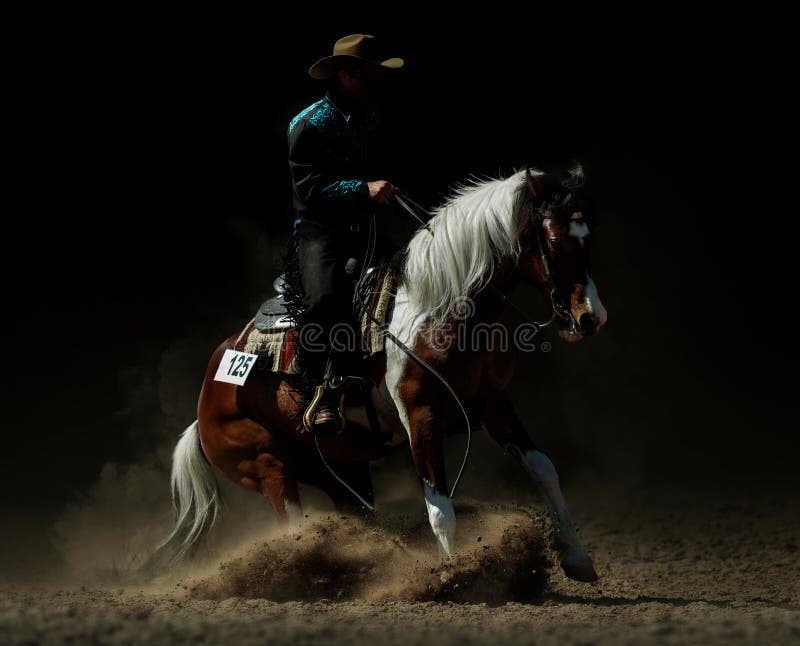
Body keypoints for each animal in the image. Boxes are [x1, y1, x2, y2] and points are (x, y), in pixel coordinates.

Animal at [151, 166, 608, 583]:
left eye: (588, 239)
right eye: (555, 240)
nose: (591, 319)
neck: (437, 309)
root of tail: (206, 398)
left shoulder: (494, 402)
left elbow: (544, 469)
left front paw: (577, 558)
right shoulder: (420, 415)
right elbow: (439, 507)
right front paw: (453, 575)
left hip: (339, 468)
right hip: (268, 464)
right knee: (293, 524)